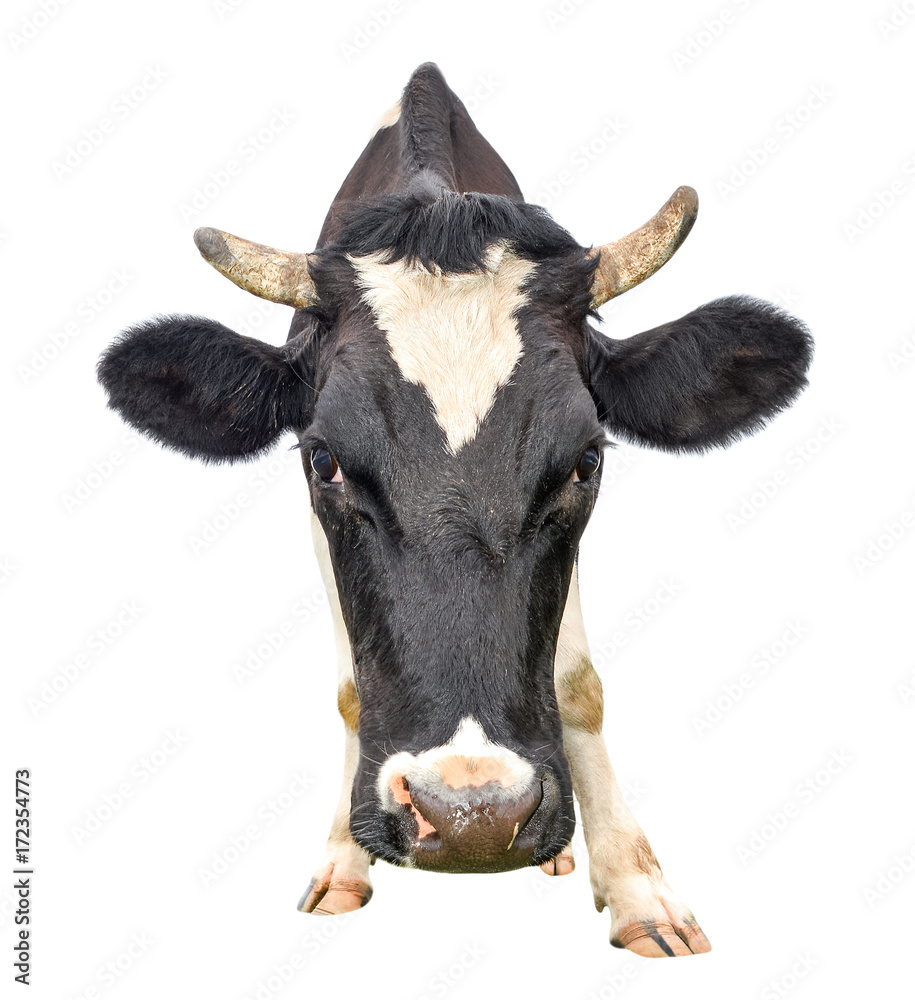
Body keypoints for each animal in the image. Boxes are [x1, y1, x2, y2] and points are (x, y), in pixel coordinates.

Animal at [98, 63, 812, 957]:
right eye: (324, 460)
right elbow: (352, 688)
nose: (474, 817)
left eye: (585, 460)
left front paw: (636, 889)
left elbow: (578, 684)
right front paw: (342, 863)